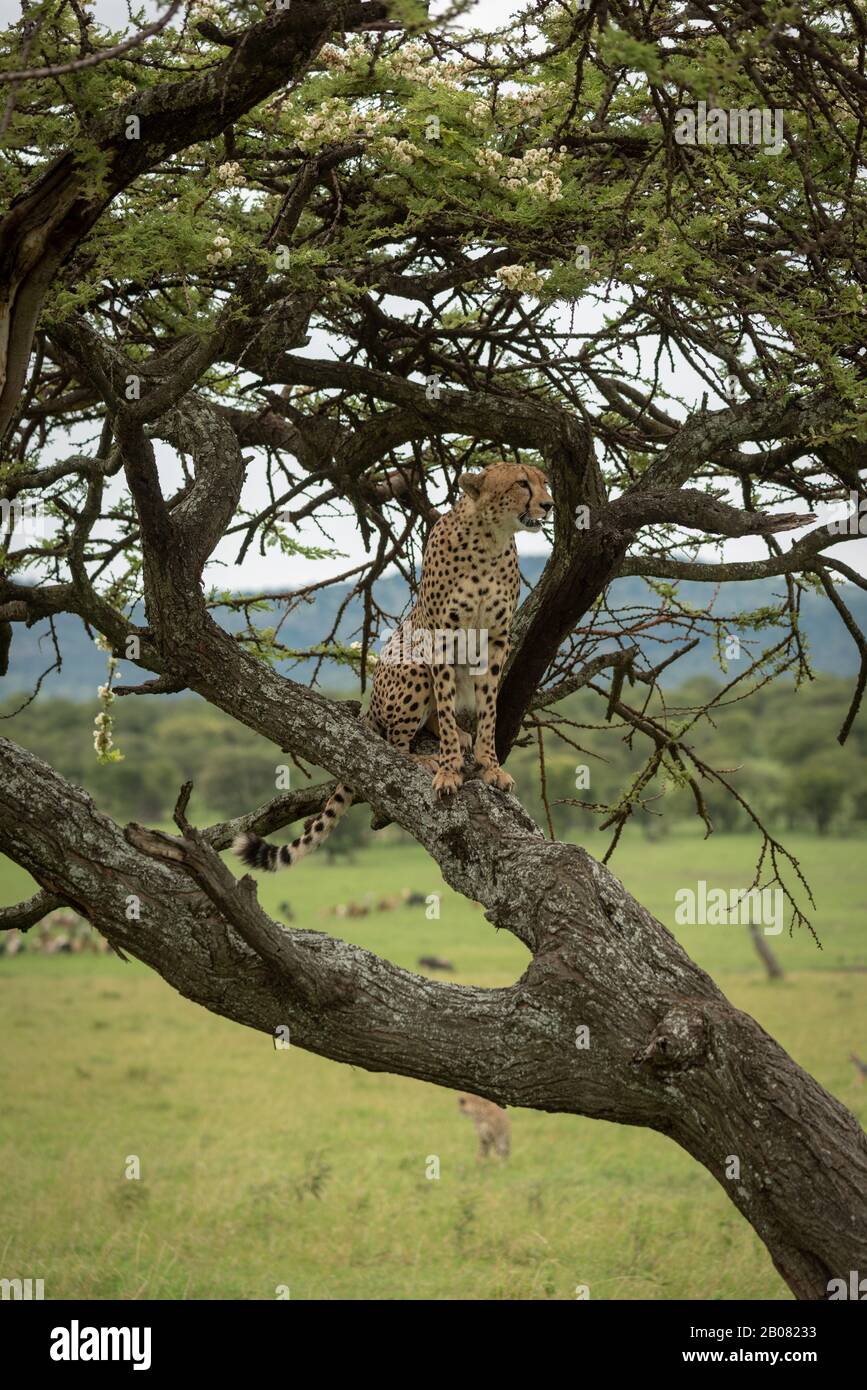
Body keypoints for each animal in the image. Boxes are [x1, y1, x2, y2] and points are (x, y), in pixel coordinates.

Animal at [234, 461, 554, 872]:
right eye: (521, 483)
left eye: (544, 482)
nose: (548, 505)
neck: (491, 540)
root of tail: (369, 705)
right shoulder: (439, 637)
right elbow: (446, 709)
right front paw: (449, 768)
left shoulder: (496, 641)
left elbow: (488, 711)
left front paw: (490, 765)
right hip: (411, 661)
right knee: (394, 743)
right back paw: (424, 757)